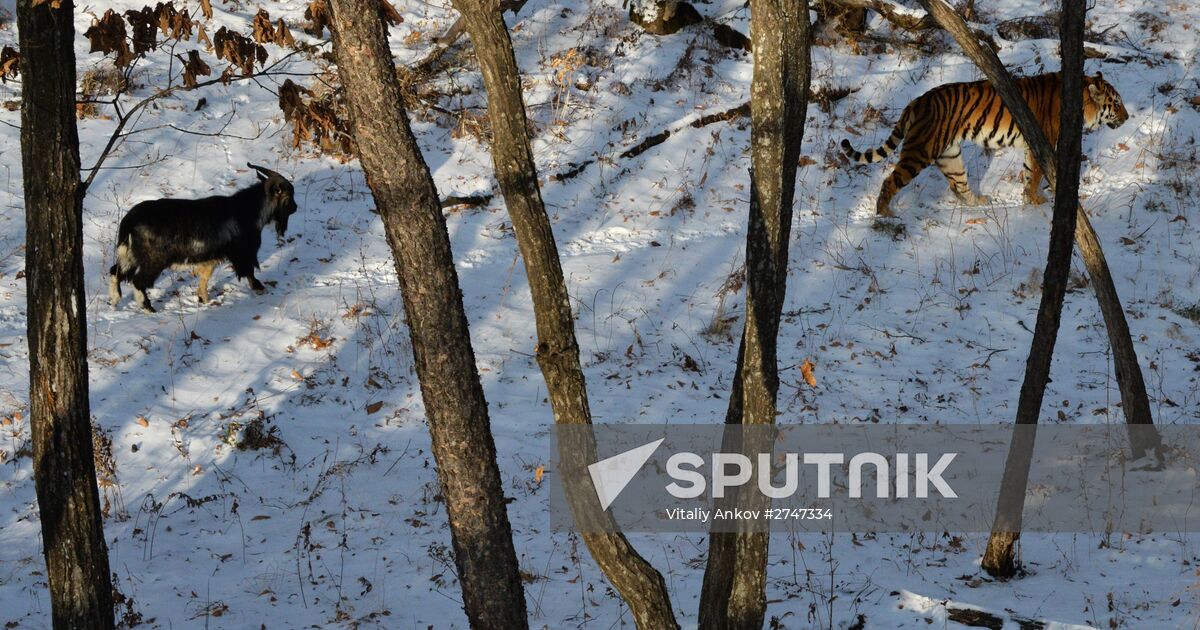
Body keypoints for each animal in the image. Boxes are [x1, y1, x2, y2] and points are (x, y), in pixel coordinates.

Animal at [108, 163, 298, 312]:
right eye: (289, 196)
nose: (296, 208)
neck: (248, 210)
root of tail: (129, 221)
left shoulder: (212, 256)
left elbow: (206, 276)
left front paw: (203, 299)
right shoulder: (242, 252)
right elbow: (249, 271)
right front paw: (259, 287)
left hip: (130, 255)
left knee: (115, 271)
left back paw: (115, 301)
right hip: (153, 260)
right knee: (137, 280)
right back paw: (148, 308)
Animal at [840, 72, 1129, 217]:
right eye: (1116, 103)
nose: (1127, 117)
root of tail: (917, 101)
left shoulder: (1030, 147)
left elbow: (1028, 174)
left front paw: (1028, 199)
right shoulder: (1043, 142)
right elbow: (1036, 175)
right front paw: (1037, 200)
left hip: (949, 155)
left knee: (958, 184)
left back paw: (978, 202)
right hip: (920, 151)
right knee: (890, 180)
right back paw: (884, 213)